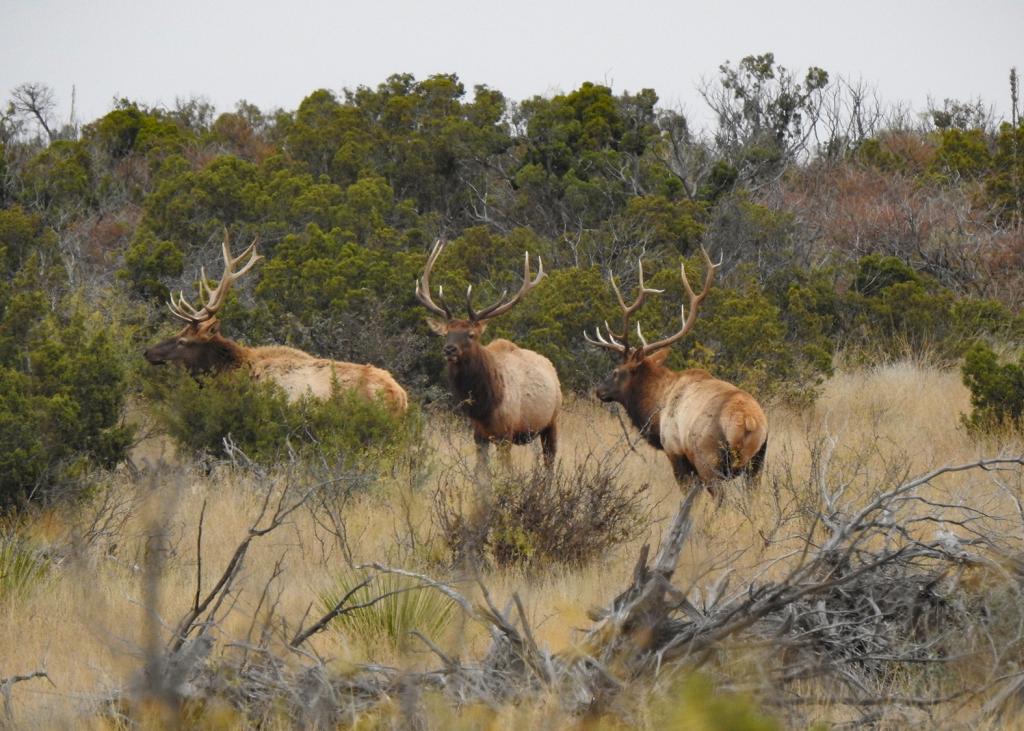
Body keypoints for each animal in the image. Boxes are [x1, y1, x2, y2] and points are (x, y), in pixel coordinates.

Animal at [415, 239, 562, 475]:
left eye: (471, 334)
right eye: (446, 332)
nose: (449, 349)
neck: (485, 404)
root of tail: (550, 365)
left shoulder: (506, 434)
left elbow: (506, 472)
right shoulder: (478, 434)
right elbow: (481, 473)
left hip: (553, 420)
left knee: (550, 461)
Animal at [585, 248, 767, 502]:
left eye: (616, 371)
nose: (599, 391)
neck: (657, 408)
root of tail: (749, 421)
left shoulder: (675, 452)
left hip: (709, 459)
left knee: (721, 499)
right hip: (757, 462)